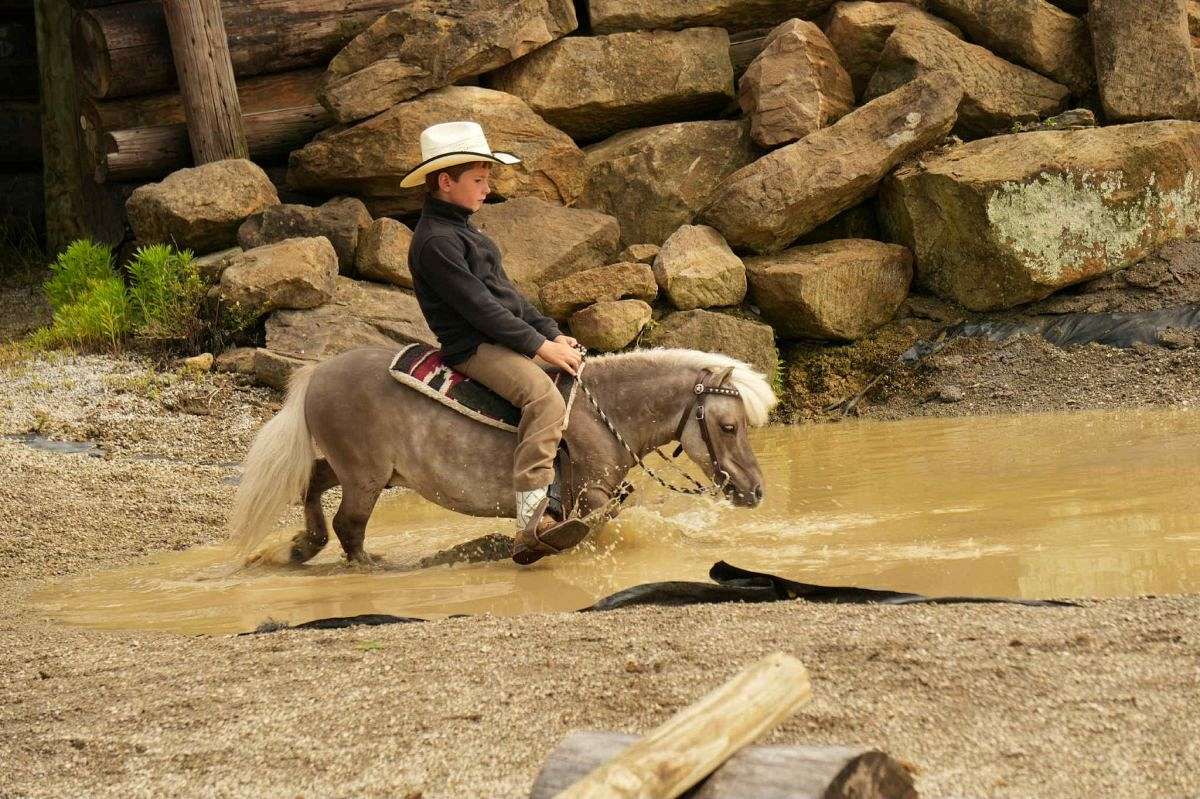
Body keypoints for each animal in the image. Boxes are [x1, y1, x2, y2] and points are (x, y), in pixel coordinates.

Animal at [228, 346, 777, 566]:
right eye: (729, 426)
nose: (755, 492)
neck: (604, 411)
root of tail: (316, 374)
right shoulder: (591, 494)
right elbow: (586, 527)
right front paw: (532, 545)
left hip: (361, 471)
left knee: (311, 486)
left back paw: (302, 547)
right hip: (365, 478)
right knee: (349, 527)